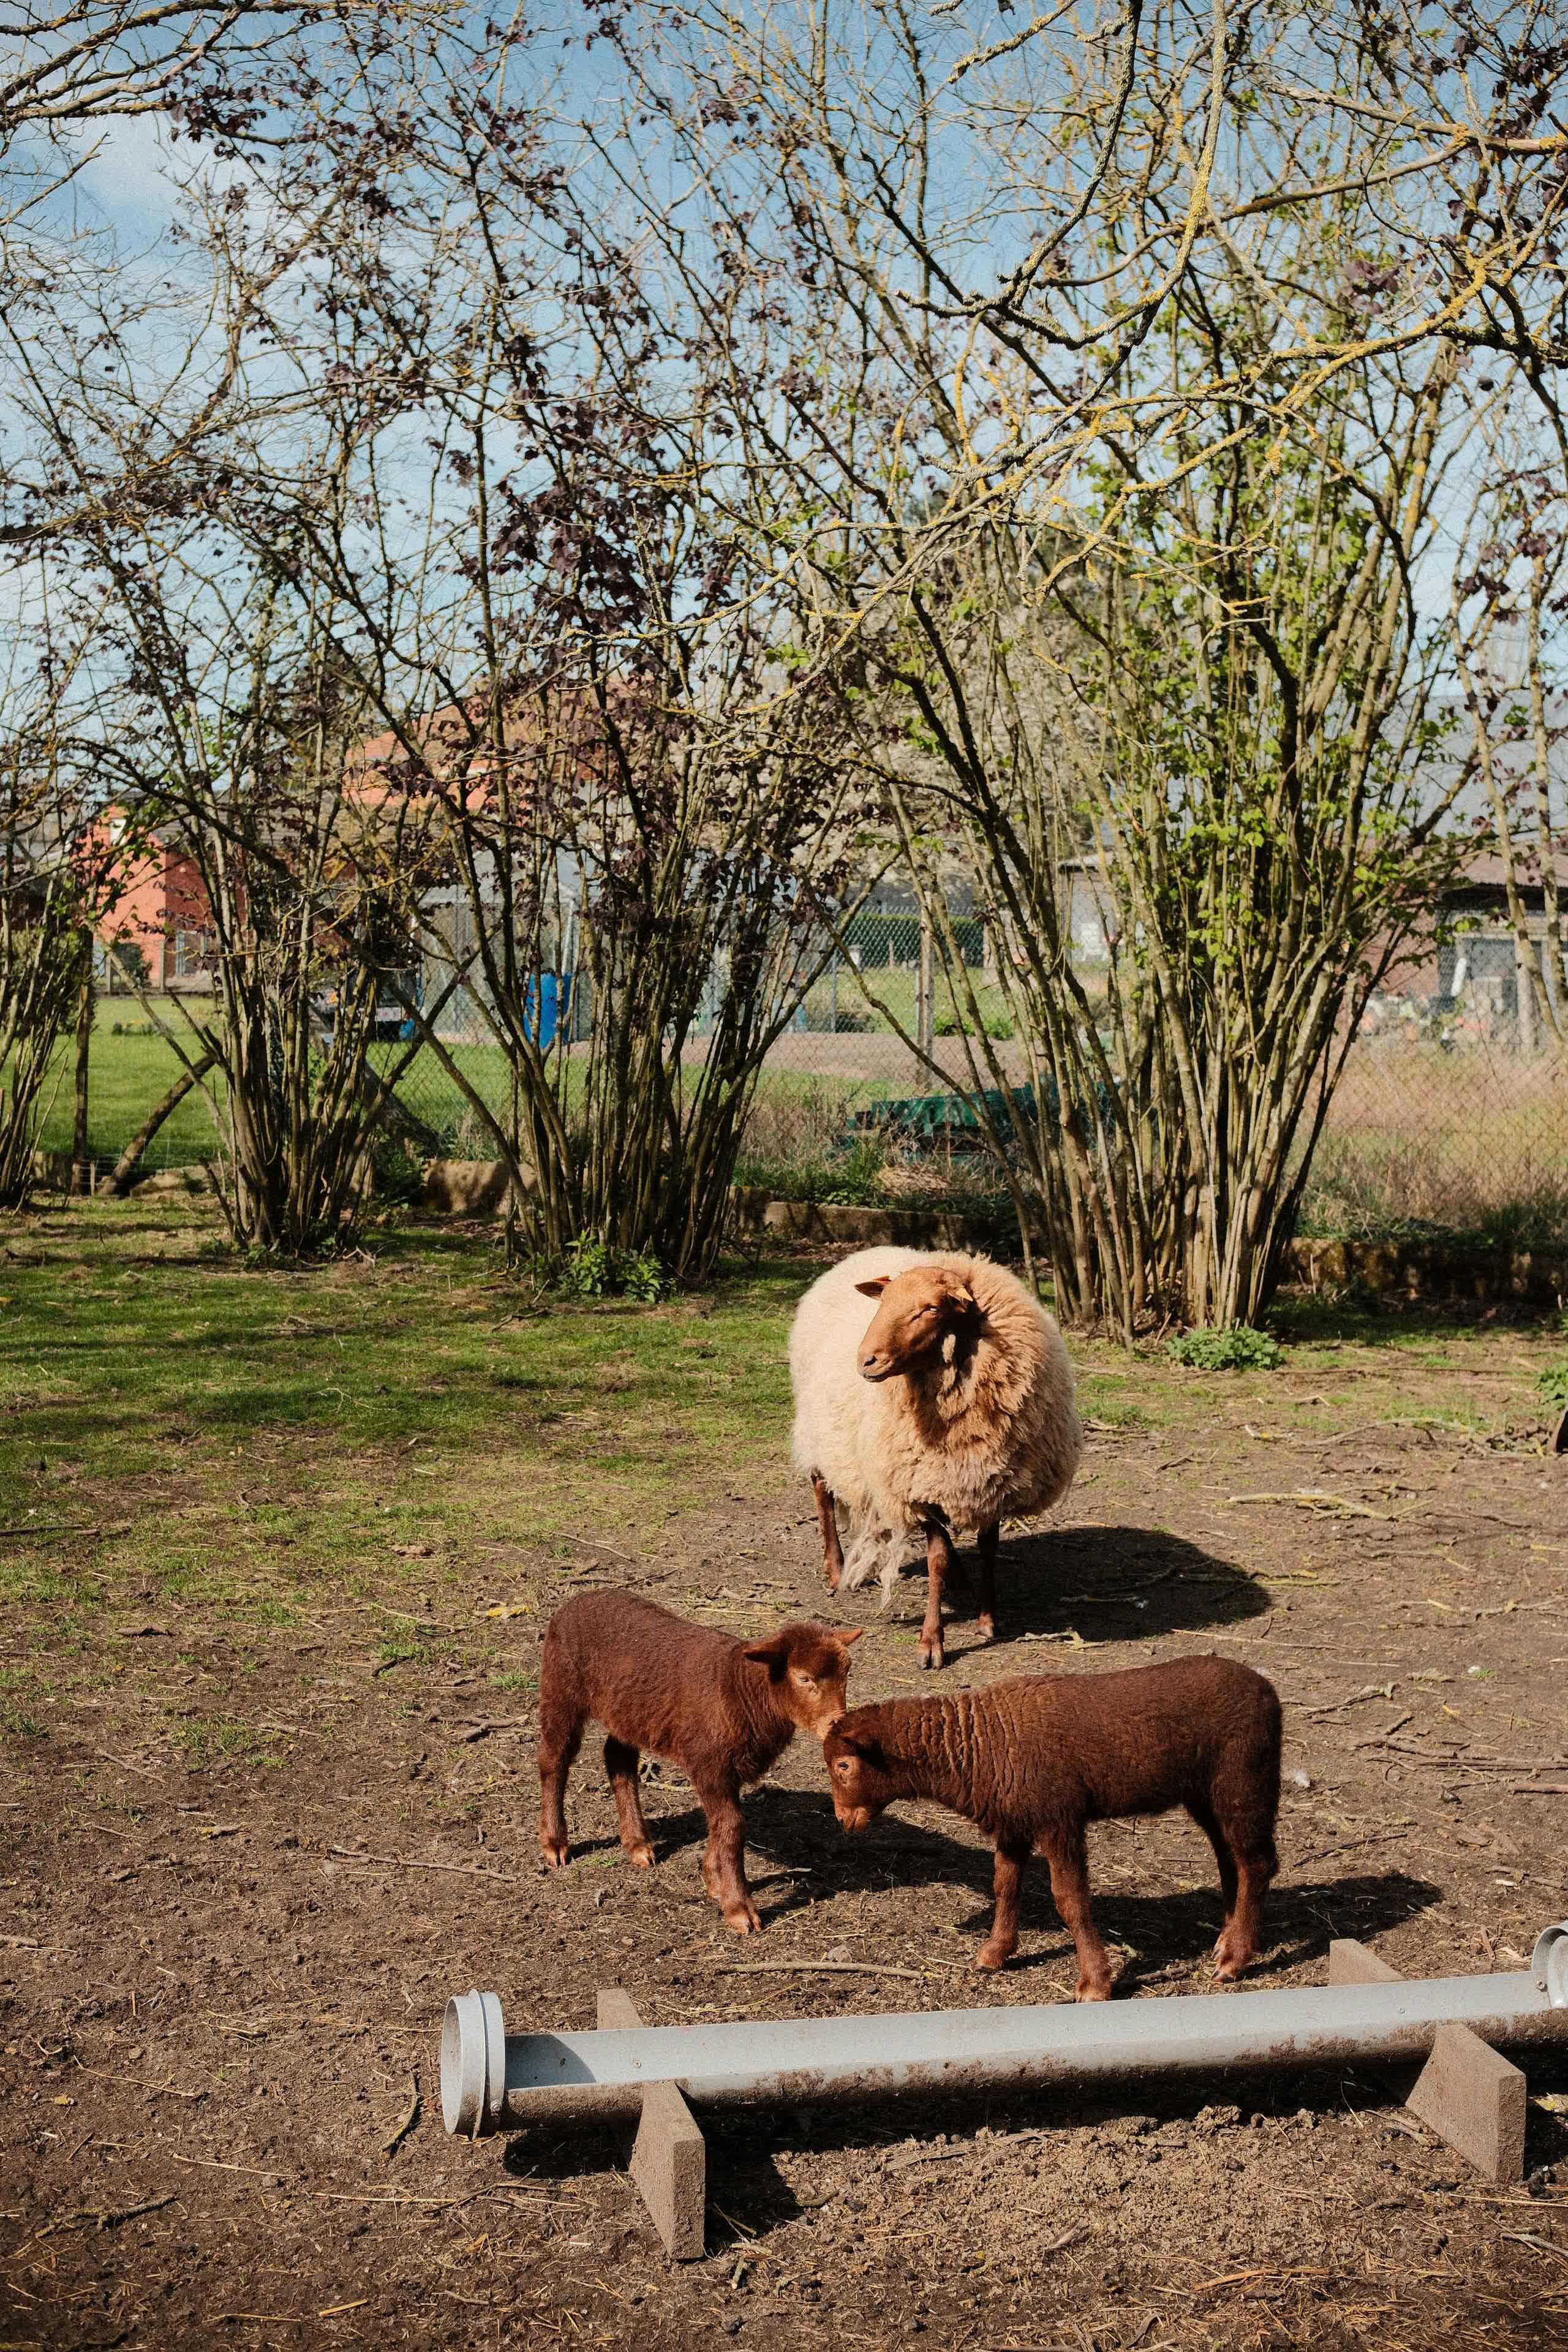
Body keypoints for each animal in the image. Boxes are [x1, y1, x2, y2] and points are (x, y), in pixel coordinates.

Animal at [537, 1590, 861, 1933]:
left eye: (846, 1674)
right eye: (804, 1678)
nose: (838, 1726)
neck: (742, 1690)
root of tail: (580, 1598)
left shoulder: (725, 1768)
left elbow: (721, 1824)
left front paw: (713, 1879)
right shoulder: (709, 1763)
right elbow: (732, 1826)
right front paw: (738, 1908)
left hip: (628, 1711)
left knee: (618, 1758)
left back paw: (637, 1845)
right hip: (560, 1687)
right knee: (554, 1760)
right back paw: (554, 1844)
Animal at [789, 1247, 1082, 1667]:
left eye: (929, 1309)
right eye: (884, 1303)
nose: (866, 1360)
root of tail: (862, 1253)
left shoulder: (992, 1484)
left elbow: (988, 1549)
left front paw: (988, 1619)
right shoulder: (920, 1486)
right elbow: (937, 1558)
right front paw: (932, 1642)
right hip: (820, 1431)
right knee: (821, 1490)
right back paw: (835, 1568)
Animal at [823, 1655, 1282, 1989]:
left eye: (844, 1765)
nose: (843, 1820)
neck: (976, 1745)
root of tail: (1266, 1689)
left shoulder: (1058, 1819)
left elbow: (1070, 1899)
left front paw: (1094, 1982)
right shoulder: (1013, 1823)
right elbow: (1005, 1886)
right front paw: (994, 1954)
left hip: (1244, 1781)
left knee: (1257, 1865)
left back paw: (1235, 1961)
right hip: (1208, 1795)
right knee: (1231, 1862)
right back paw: (1224, 1943)